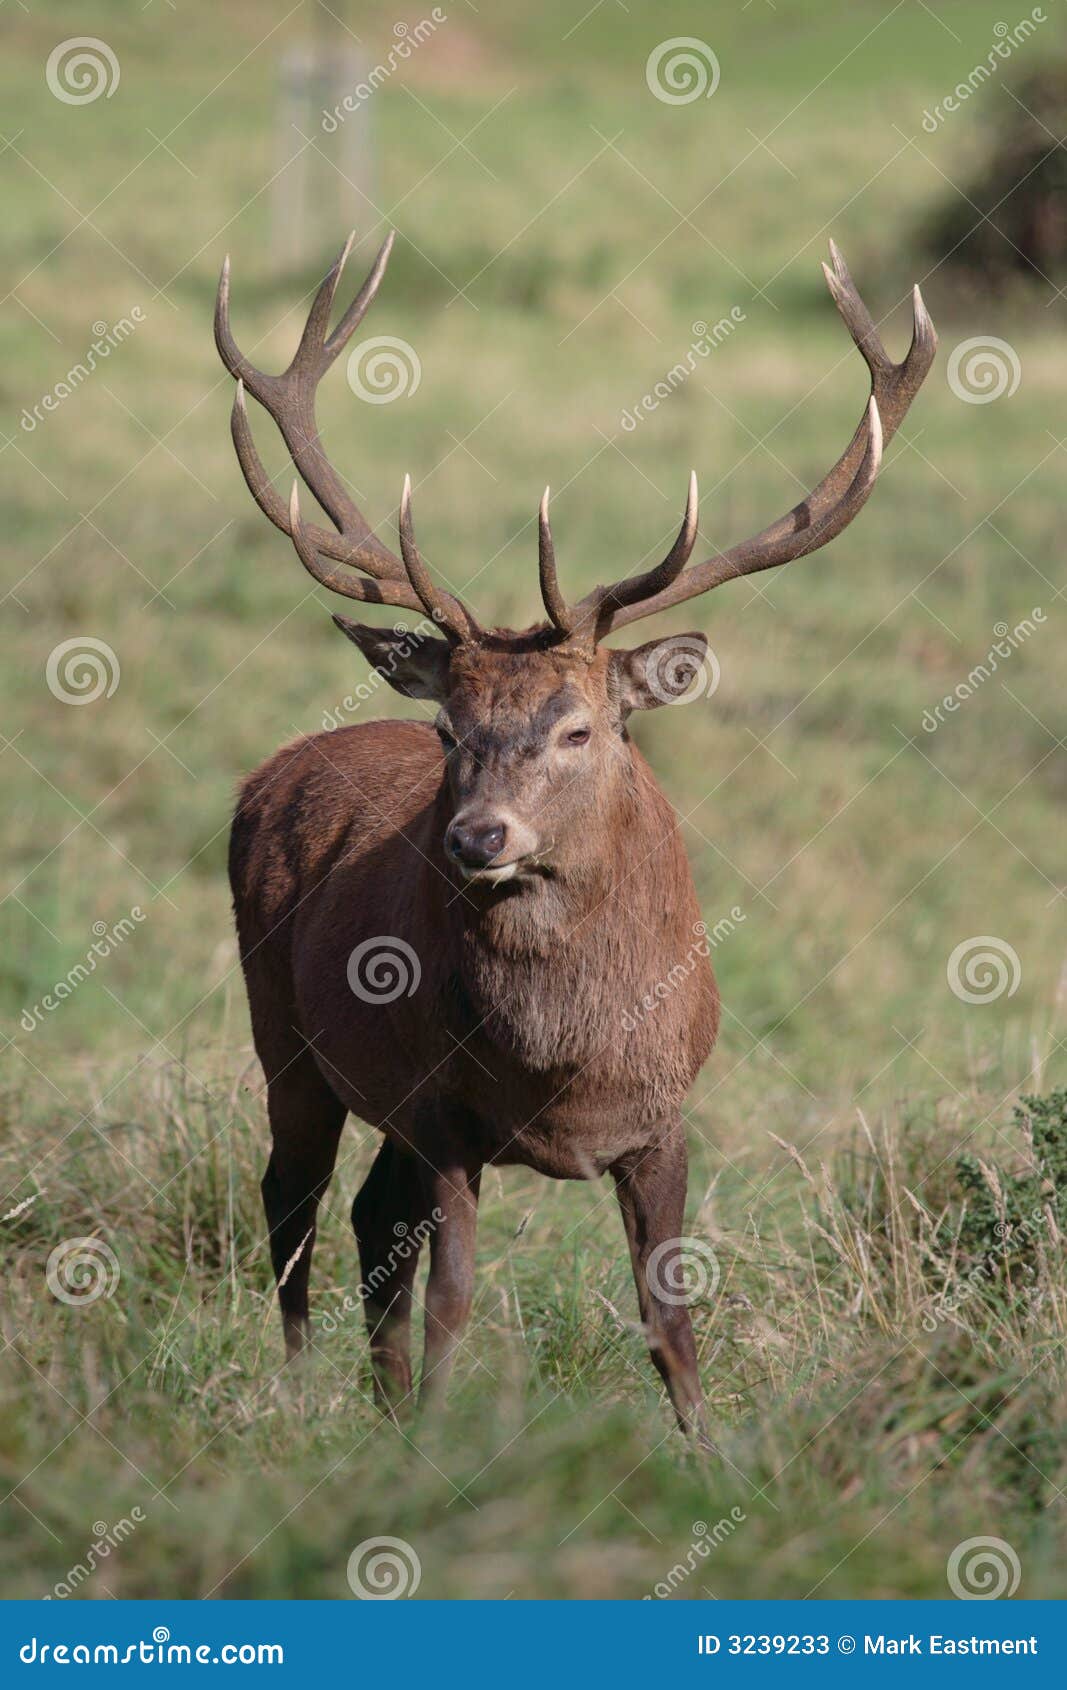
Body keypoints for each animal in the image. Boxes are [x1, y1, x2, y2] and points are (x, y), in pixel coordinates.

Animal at [215, 233, 935, 1438]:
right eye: (449, 727)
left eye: (578, 727)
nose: (475, 836)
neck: (567, 1059)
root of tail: (273, 770)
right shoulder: (445, 1111)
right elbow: (454, 1301)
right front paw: (434, 1442)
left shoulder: (665, 1115)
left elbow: (668, 1319)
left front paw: (707, 1451)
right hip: (287, 1035)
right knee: (293, 1205)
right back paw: (304, 1397)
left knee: (365, 1218)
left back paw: (377, 1408)